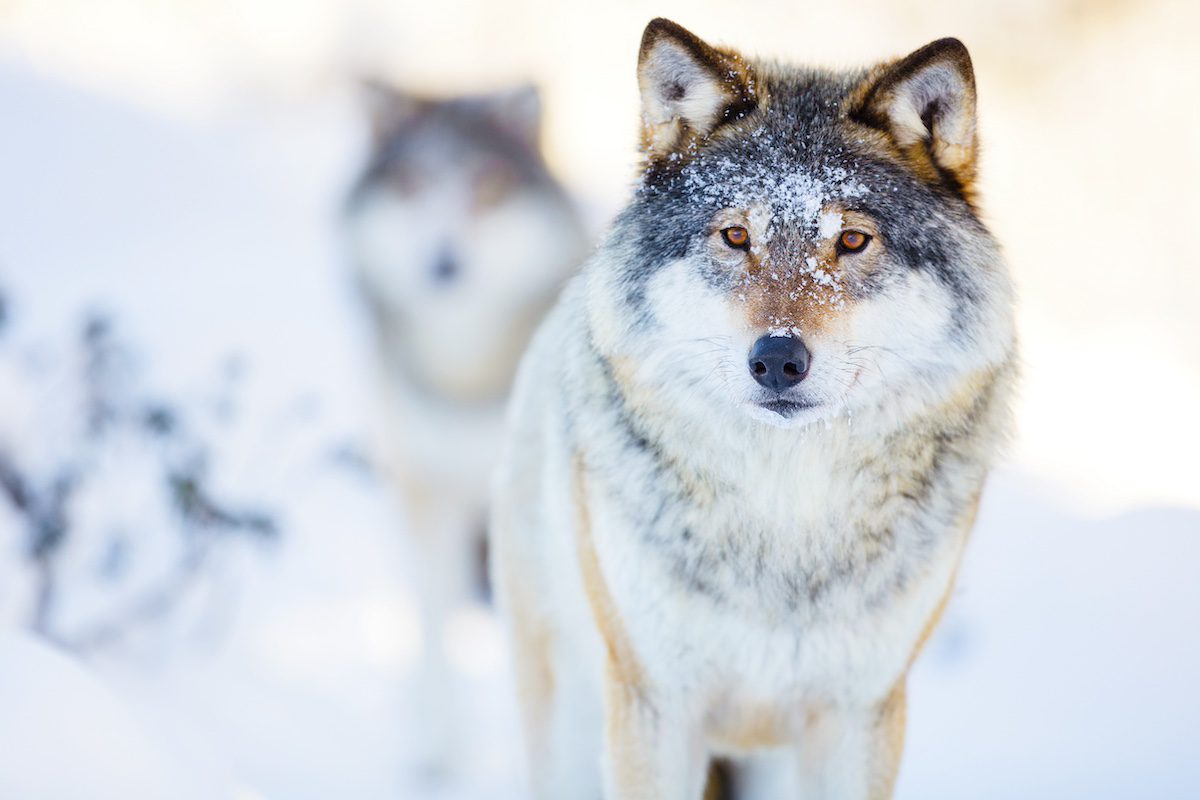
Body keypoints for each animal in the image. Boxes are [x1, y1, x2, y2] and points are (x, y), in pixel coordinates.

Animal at [342, 81, 587, 770]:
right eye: (410, 185)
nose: (444, 265)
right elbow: (433, 628)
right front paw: (436, 746)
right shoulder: (429, 493)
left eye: (489, 185)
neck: (468, 378)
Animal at [491, 18, 1016, 799]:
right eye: (736, 236)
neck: (785, 517)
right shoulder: (654, 709)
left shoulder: (860, 715)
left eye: (852, 239)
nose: (776, 359)